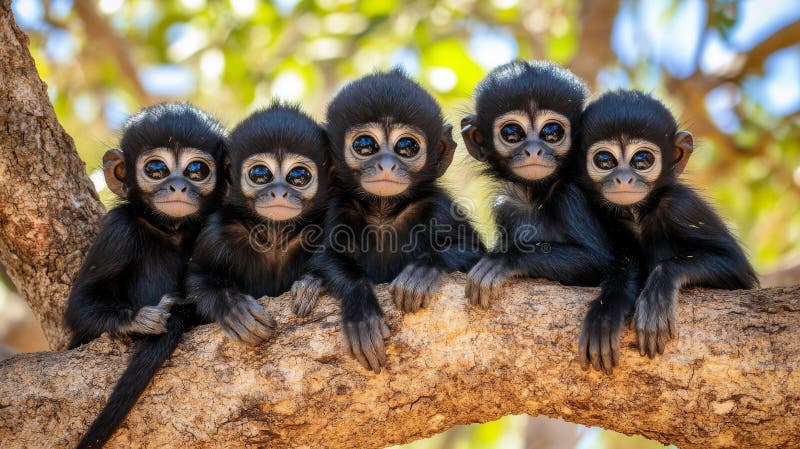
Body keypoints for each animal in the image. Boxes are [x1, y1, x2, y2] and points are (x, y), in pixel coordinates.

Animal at [63, 102, 227, 448]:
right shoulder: (118, 228)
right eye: (156, 169)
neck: (171, 229)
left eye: (197, 170)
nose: (178, 186)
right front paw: (140, 320)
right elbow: (79, 307)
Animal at [185, 103, 330, 345]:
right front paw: (233, 307)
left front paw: (312, 283)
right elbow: (196, 276)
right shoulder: (217, 233)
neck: (274, 236)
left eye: (299, 175)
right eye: (260, 174)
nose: (279, 192)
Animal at [314, 69, 484, 373]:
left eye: (406, 146)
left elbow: (476, 251)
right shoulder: (340, 206)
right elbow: (327, 256)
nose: (385, 164)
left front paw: (422, 270)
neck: (384, 212)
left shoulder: (438, 207)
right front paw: (362, 311)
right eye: (365, 145)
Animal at [460, 60, 613, 308]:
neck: (536, 195)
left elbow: (598, 260)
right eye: (512, 133)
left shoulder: (570, 193)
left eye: (552, 132)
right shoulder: (505, 204)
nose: (534, 150)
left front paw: (504, 261)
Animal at [577, 89, 758, 373]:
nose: (624, 178)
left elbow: (737, 268)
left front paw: (657, 291)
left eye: (642, 160)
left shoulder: (681, 205)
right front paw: (606, 311)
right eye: (604, 160)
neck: (637, 213)